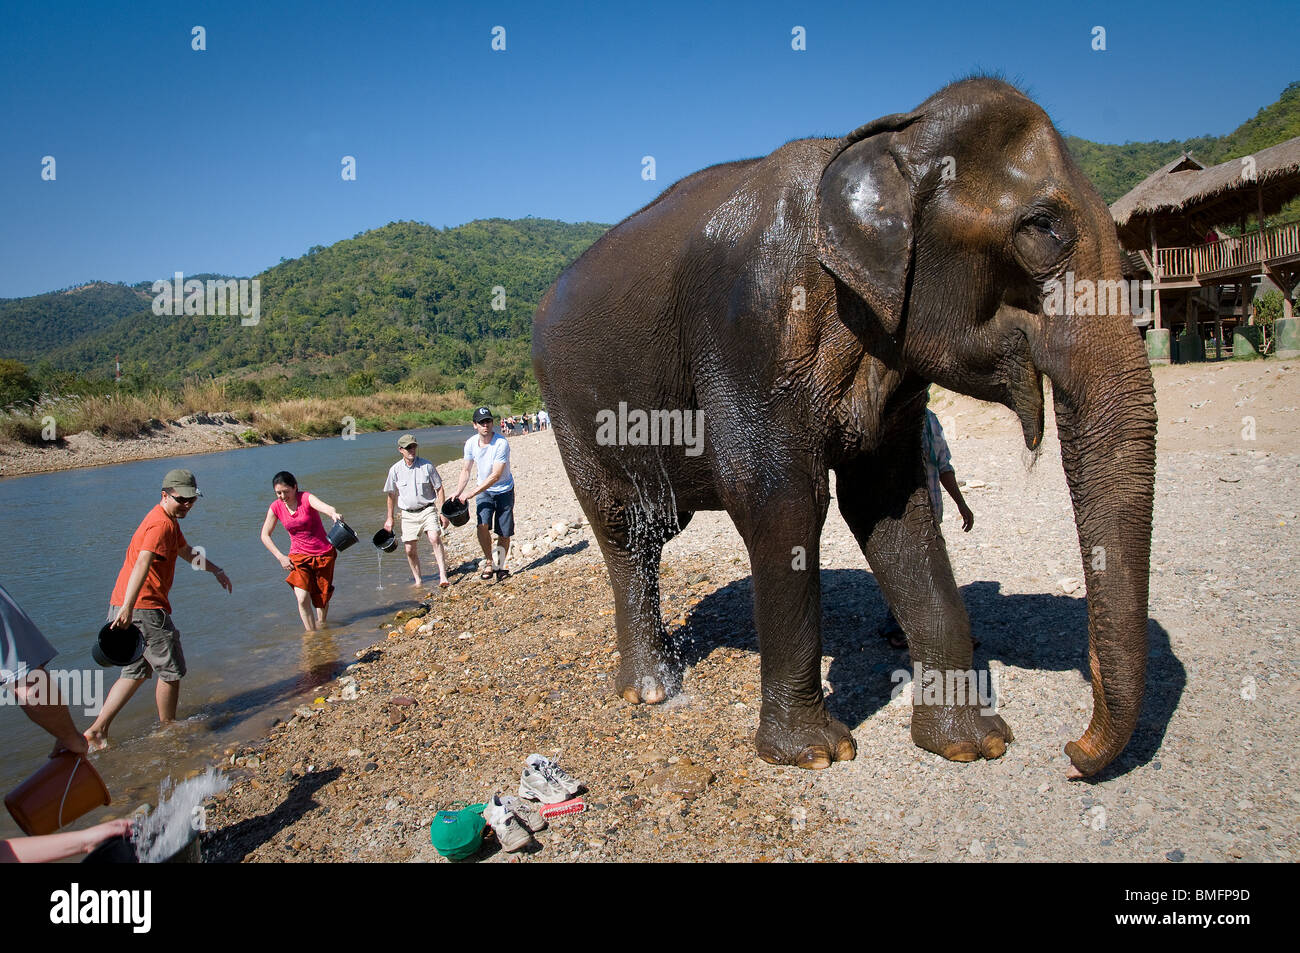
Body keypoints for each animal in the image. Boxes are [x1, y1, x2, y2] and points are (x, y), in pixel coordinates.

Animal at [532, 78, 1156, 777]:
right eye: (1043, 228)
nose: (1072, 753)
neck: (885, 137)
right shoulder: (751, 327)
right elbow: (779, 500)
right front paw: (814, 755)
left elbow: (889, 500)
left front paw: (975, 745)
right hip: (565, 407)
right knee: (623, 529)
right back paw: (653, 690)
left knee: (655, 528)